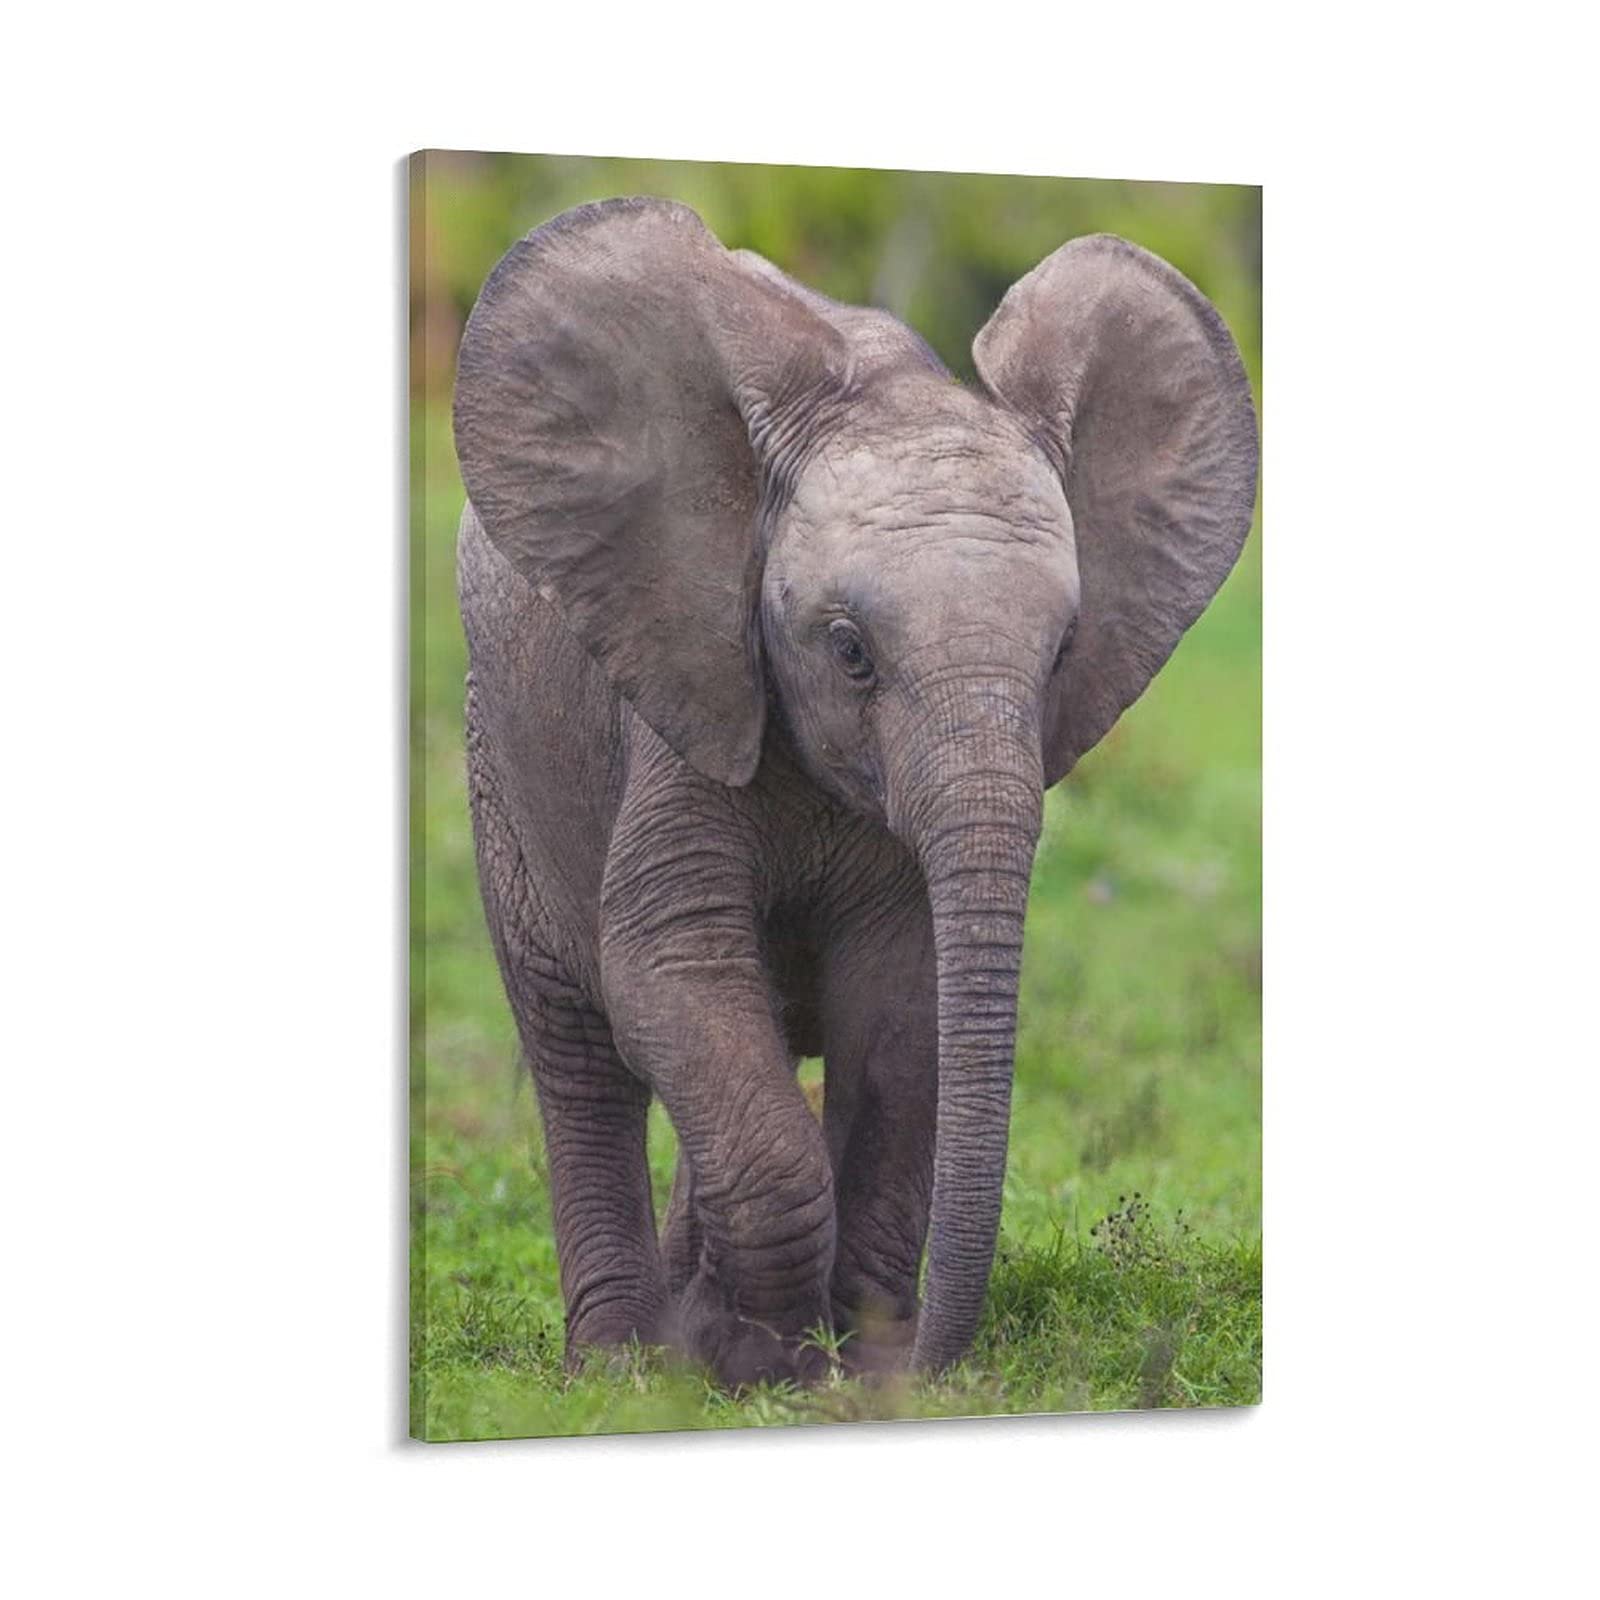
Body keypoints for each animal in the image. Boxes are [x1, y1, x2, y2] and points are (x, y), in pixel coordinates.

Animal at [452, 197, 1258, 1388]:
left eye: (1063, 652)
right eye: (849, 651)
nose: (922, 1364)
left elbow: (898, 1006)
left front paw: (829, 1358)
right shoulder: (685, 696)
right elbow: (670, 968)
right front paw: (758, 1357)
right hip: (500, 750)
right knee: (579, 1049)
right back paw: (619, 1367)